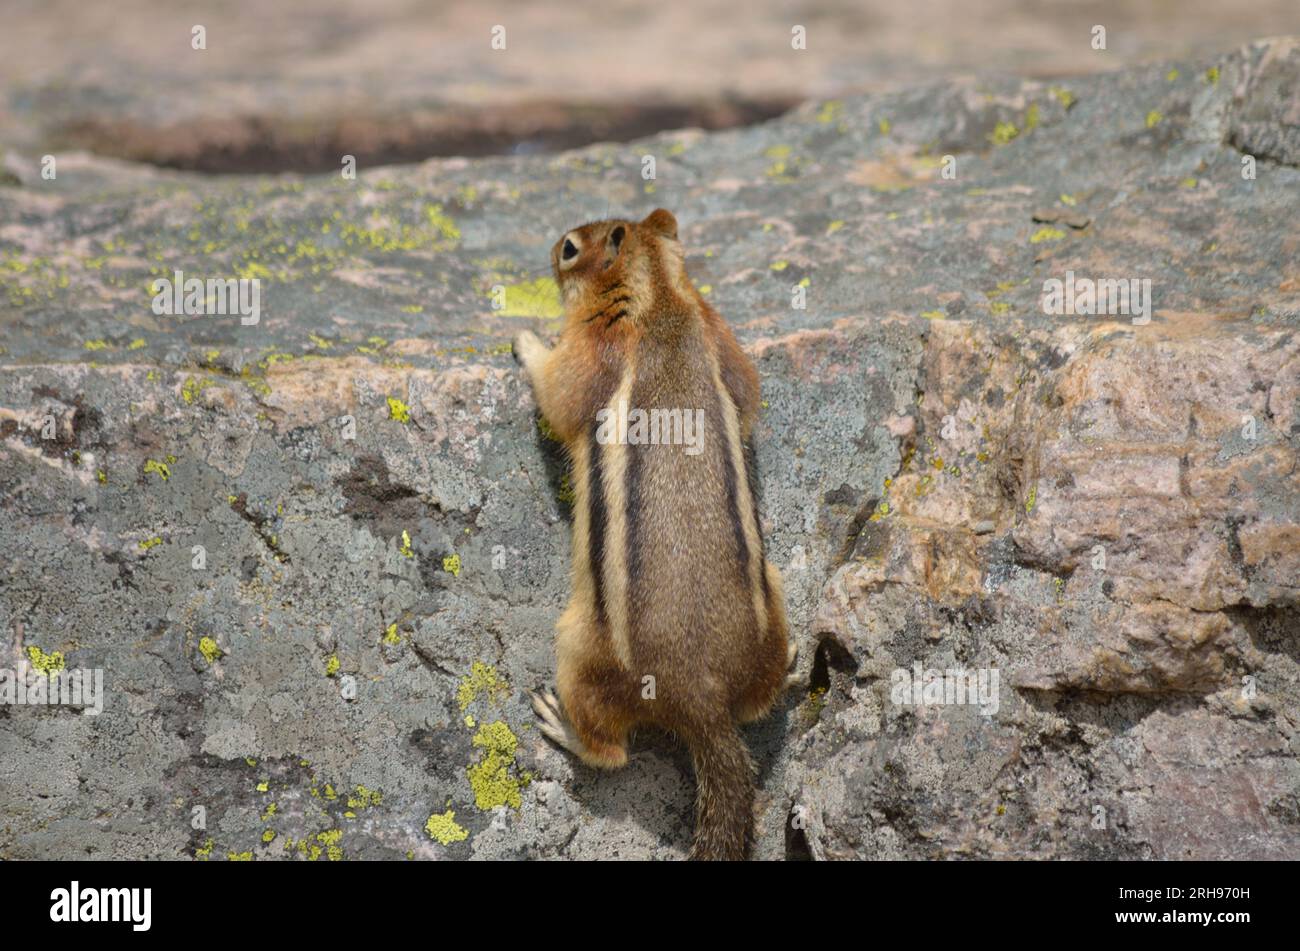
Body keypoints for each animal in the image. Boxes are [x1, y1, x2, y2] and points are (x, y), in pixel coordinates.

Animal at [513, 208, 793, 860]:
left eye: (570, 249)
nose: (549, 249)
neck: (659, 296)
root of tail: (702, 701)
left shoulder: (590, 356)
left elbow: (555, 391)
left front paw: (526, 340)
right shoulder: (727, 340)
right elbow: (749, 396)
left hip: (580, 652)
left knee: (611, 752)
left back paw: (562, 726)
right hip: (774, 600)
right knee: (760, 701)